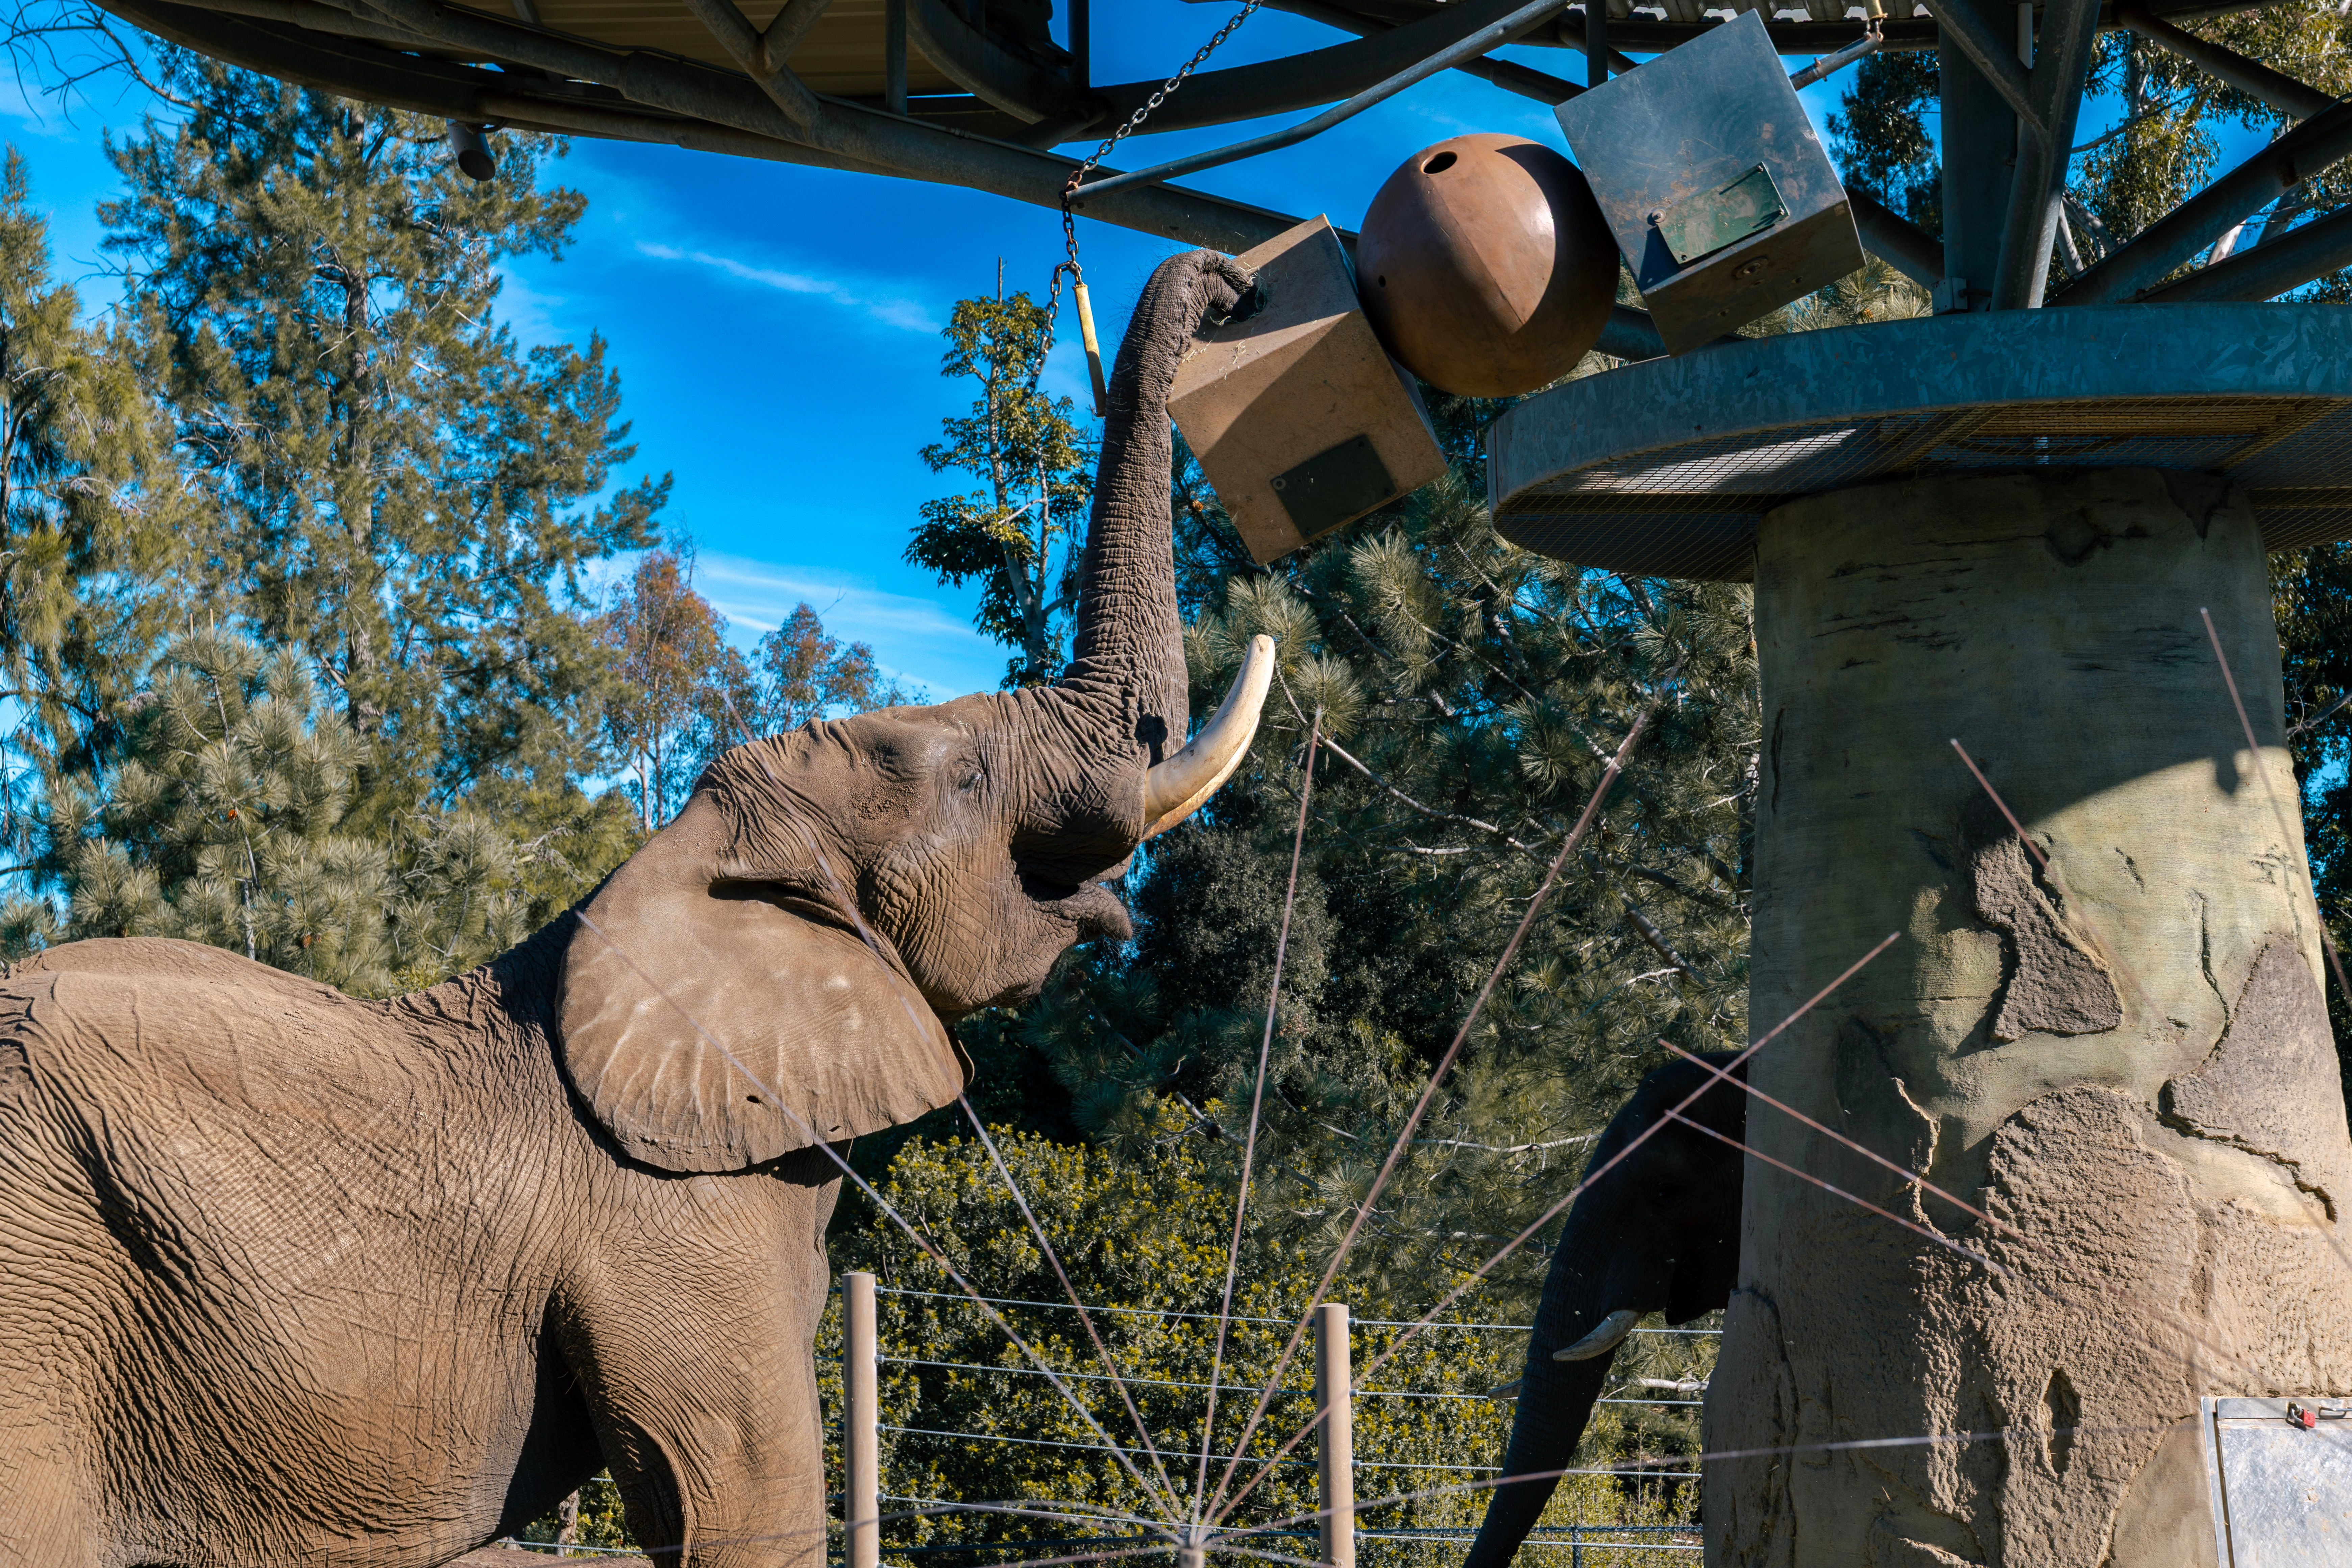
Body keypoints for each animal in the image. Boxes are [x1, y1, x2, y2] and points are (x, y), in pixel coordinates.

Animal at [0, 249, 1266, 1568]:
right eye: (967, 777)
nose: (1233, 286)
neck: (685, 860)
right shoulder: (666, 1221)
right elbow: (742, 1508)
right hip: (40, 1281)